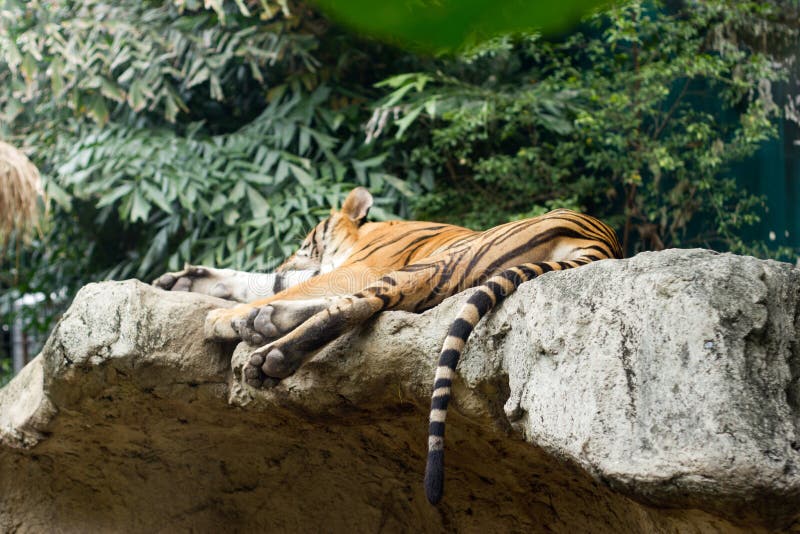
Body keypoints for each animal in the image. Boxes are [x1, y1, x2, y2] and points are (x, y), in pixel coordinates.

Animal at [193, 186, 623, 505]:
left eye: (303, 244)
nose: (282, 264)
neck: (363, 233)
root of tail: (603, 243)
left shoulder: (357, 268)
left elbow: (302, 285)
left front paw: (224, 316)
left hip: (435, 265)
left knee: (360, 303)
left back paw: (268, 352)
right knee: (364, 304)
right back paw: (263, 325)